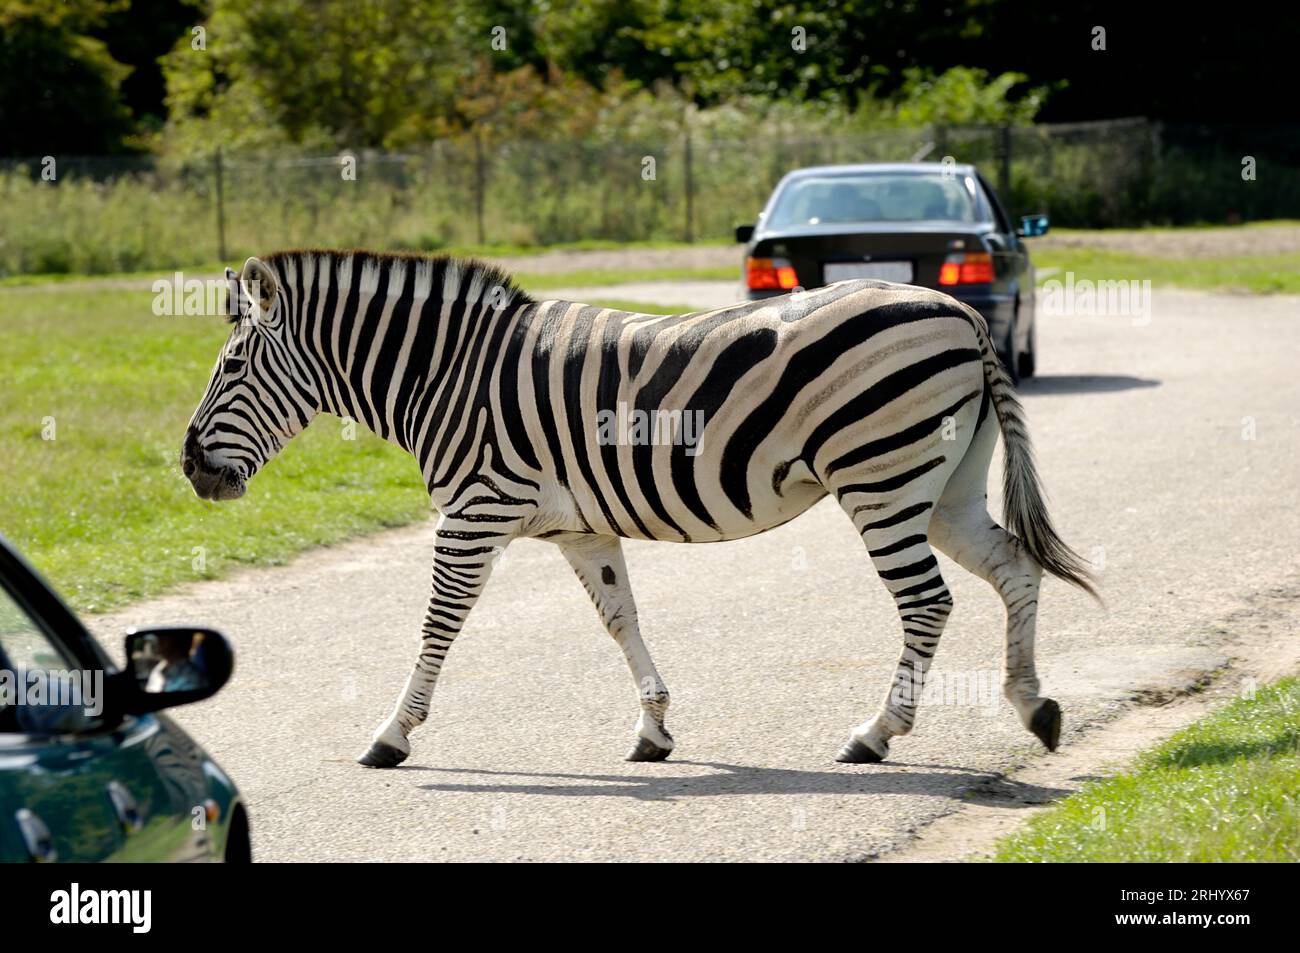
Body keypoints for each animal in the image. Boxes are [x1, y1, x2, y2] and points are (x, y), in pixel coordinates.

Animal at [182, 249, 1096, 768]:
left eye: (233, 364)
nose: (190, 468)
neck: (448, 375)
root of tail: (963, 312)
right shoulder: (579, 527)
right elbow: (620, 618)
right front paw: (654, 730)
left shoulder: (474, 514)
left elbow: (438, 625)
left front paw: (391, 735)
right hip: (944, 486)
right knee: (1014, 568)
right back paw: (1035, 706)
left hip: (881, 477)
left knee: (928, 601)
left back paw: (875, 733)